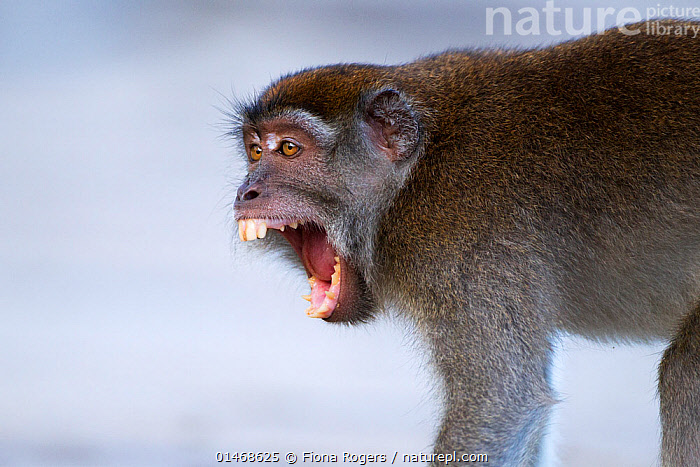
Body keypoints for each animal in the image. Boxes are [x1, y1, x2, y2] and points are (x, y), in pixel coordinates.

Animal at [231, 20, 700, 466]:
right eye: (255, 151)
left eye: (289, 148)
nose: (246, 191)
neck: (411, 179)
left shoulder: (460, 250)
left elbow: (504, 403)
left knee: (682, 374)